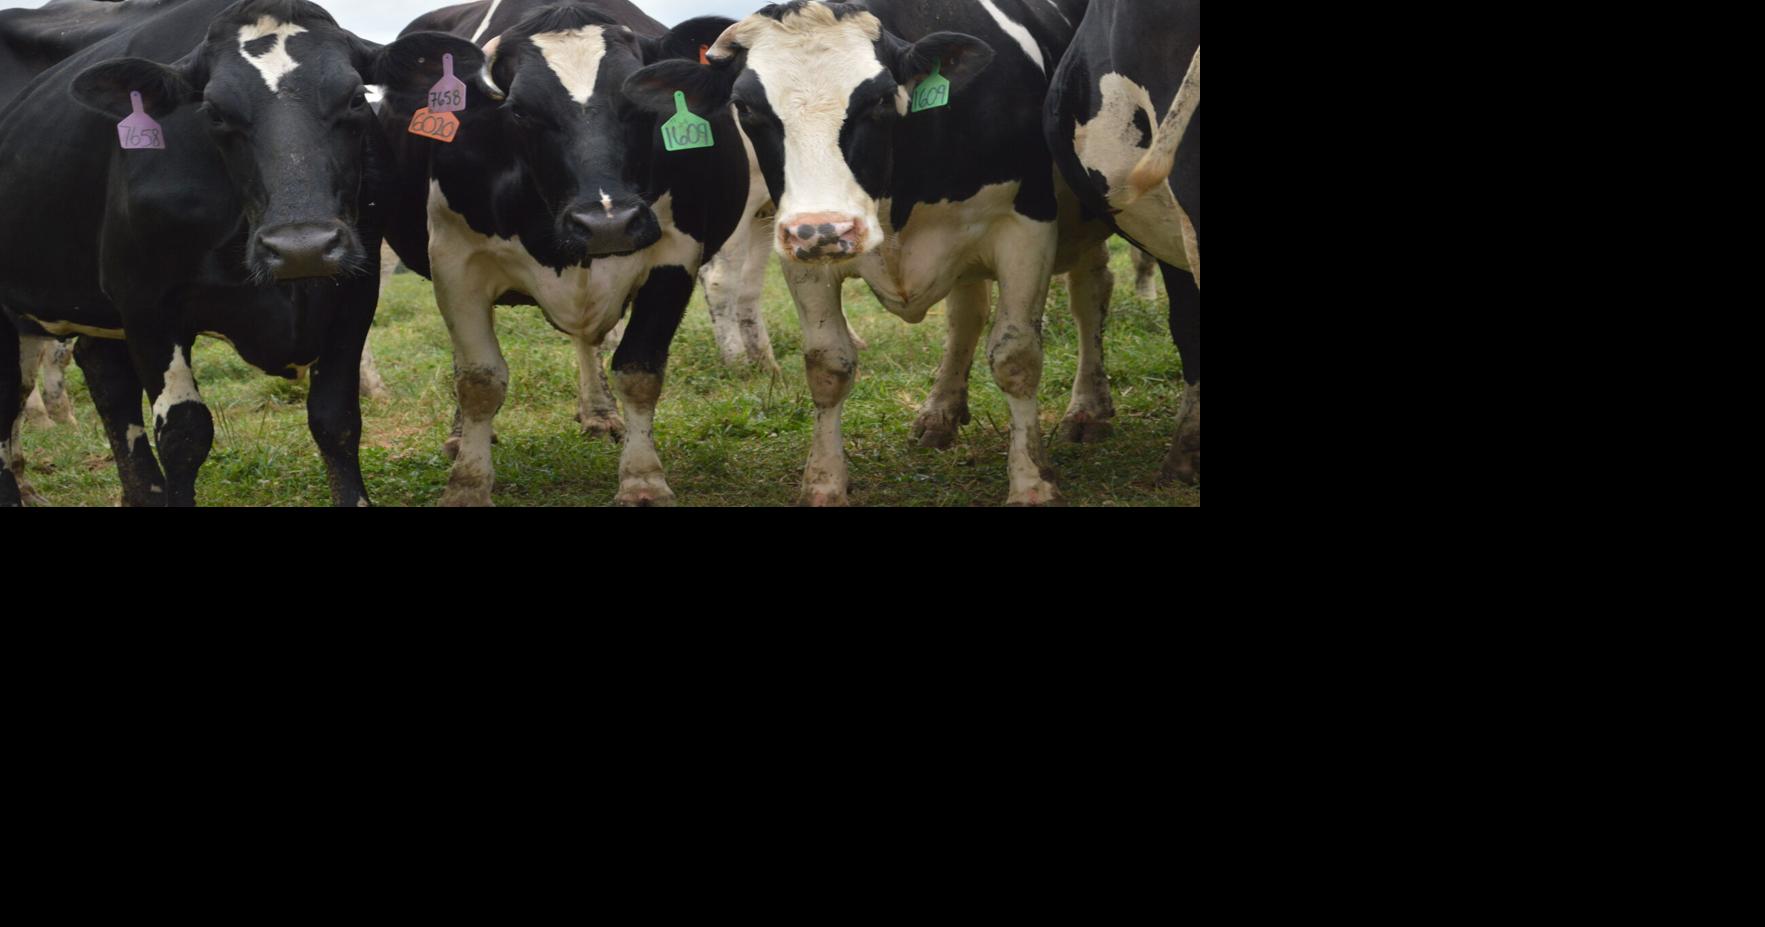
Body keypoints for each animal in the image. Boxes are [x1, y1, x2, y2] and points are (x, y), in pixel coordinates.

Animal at [0, 0, 483, 507]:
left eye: (355, 98)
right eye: (213, 111)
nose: (301, 248)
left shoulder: (355, 292)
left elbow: (336, 419)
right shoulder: (146, 303)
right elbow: (184, 434)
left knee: (101, 371)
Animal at [377, 0, 752, 506]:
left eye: (639, 102)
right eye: (519, 111)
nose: (607, 222)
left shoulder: (676, 255)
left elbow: (639, 370)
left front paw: (643, 478)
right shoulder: (455, 262)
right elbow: (478, 379)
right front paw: (468, 483)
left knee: (589, 341)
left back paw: (599, 412)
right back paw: (461, 438)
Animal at [625, 0, 1115, 505]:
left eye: (880, 99)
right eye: (745, 107)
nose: (824, 228)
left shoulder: (1026, 228)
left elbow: (1016, 358)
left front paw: (1032, 482)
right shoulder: (802, 254)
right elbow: (828, 366)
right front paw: (824, 483)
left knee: (1089, 297)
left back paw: (1088, 409)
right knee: (968, 314)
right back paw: (940, 411)